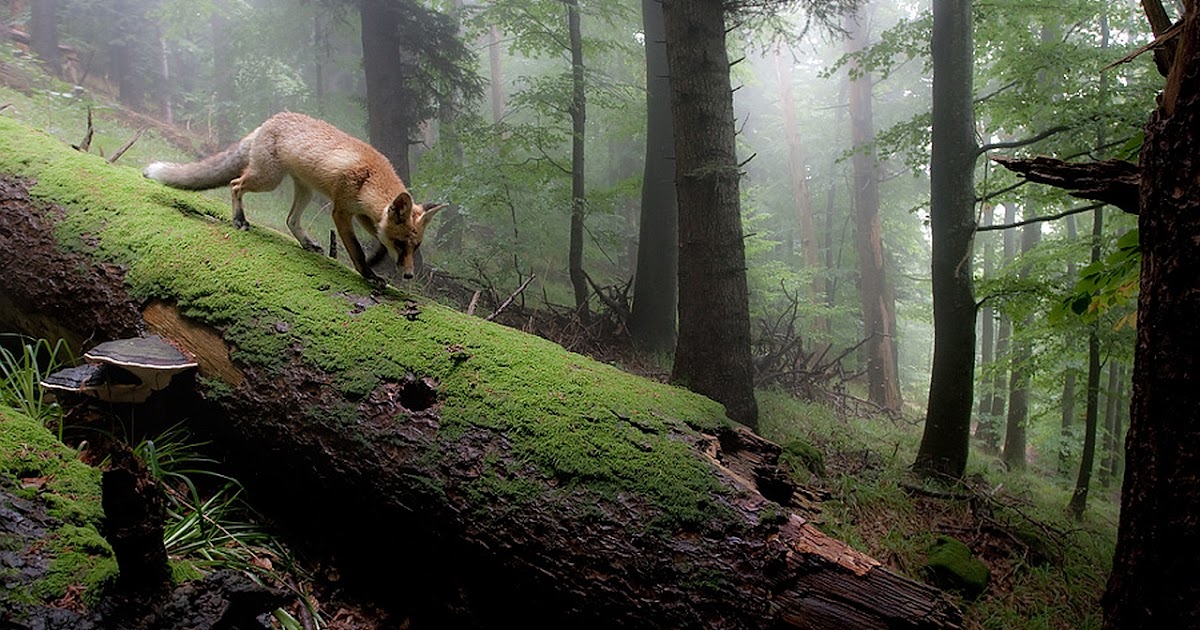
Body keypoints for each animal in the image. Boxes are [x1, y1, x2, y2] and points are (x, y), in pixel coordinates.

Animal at [143, 111, 445, 285]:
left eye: (416, 246)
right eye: (401, 243)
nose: (408, 275)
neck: (368, 178)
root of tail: (268, 121)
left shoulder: (363, 214)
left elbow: (377, 242)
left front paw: (374, 262)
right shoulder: (341, 211)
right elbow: (357, 250)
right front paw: (368, 273)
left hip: (305, 191)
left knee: (290, 220)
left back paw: (306, 243)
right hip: (267, 179)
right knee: (234, 184)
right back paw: (239, 220)